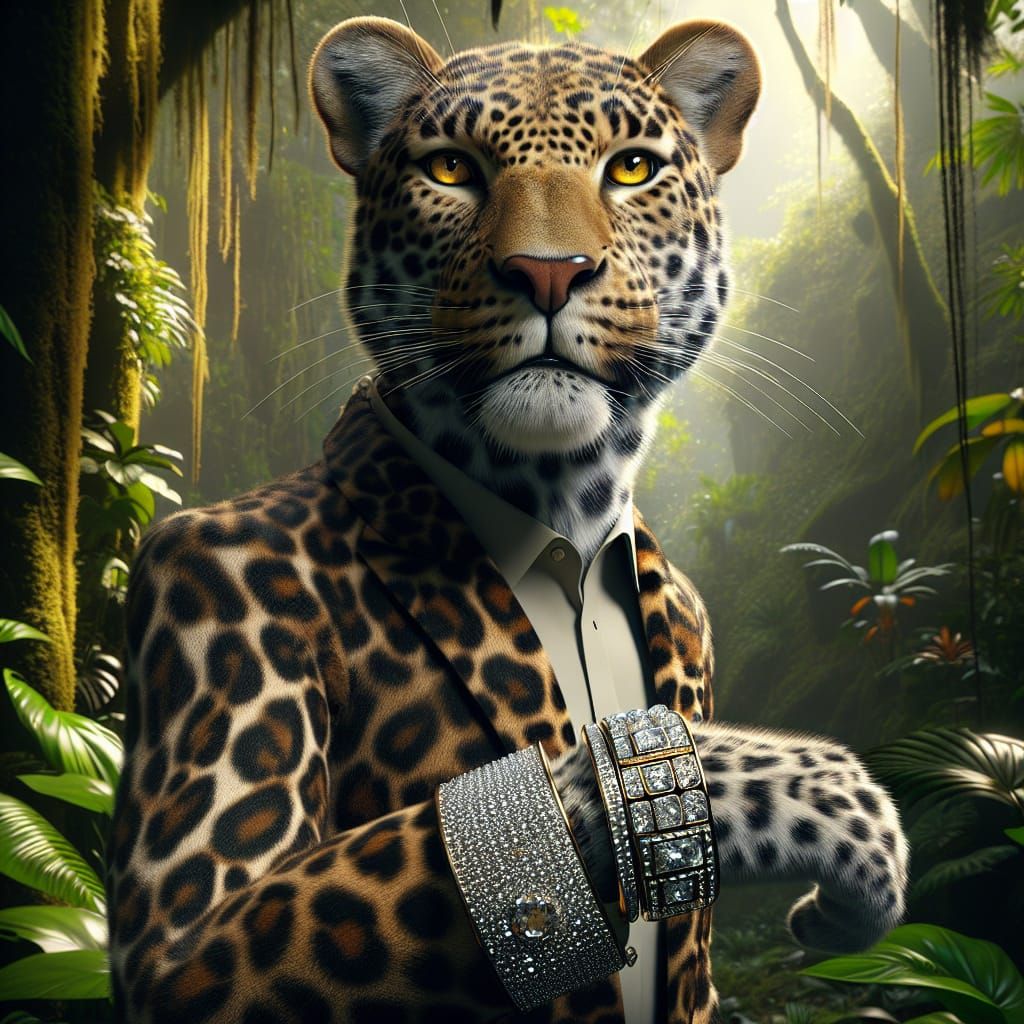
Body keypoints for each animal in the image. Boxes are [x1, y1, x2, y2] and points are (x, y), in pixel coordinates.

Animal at [106, 16, 909, 1024]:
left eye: (632, 168)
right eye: (451, 168)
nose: (547, 272)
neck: (570, 507)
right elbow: (186, 944)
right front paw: (802, 794)